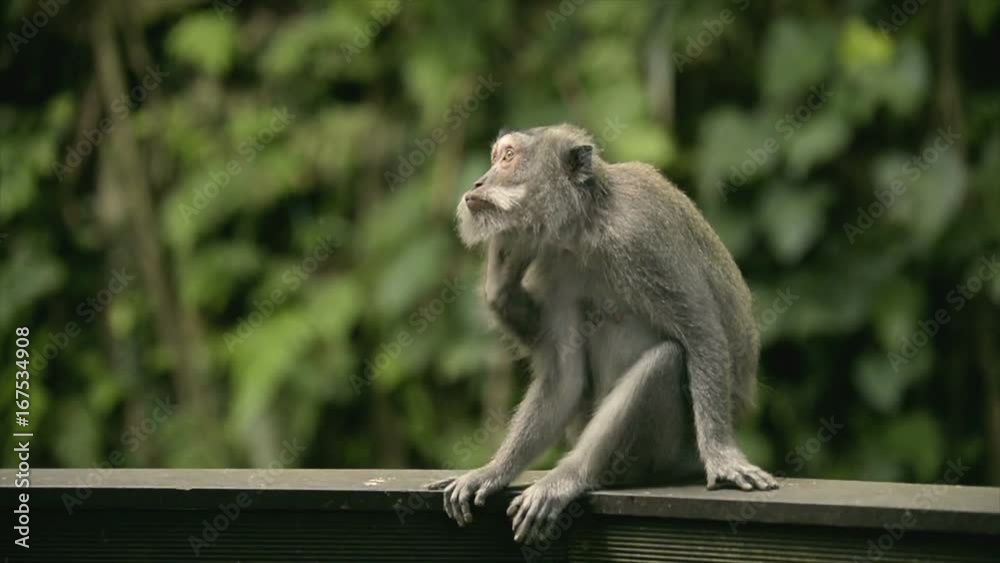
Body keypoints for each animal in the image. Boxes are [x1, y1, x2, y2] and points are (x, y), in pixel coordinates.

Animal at [427, 124, 778, 544]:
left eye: (507, 157)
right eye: (496, 157)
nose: (479, 181)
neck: (588, 228)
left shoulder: (641, 236)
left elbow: (703, 334)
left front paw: (723, 457)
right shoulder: (555, 266)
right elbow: (564, 377)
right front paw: (493, 472)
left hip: (671, 453)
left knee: (666, 359)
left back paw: (571, 477)